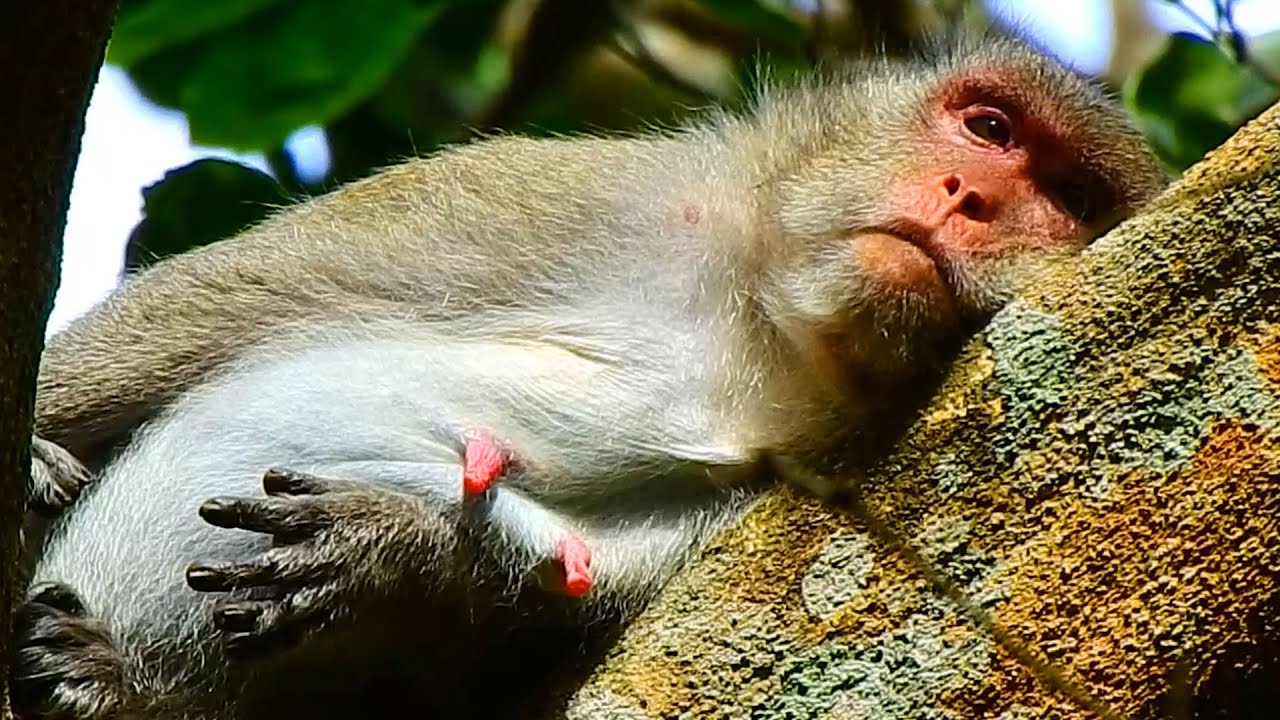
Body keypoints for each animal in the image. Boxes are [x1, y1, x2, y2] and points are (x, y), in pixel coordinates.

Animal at [13, 36, 1165, 720]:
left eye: (1066, 197)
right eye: (987, 127)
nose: (971, 195)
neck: (769, 334)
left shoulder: (817, 474)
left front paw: (407, 558)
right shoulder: (567, 195)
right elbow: (211, 307)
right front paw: (32, 446)